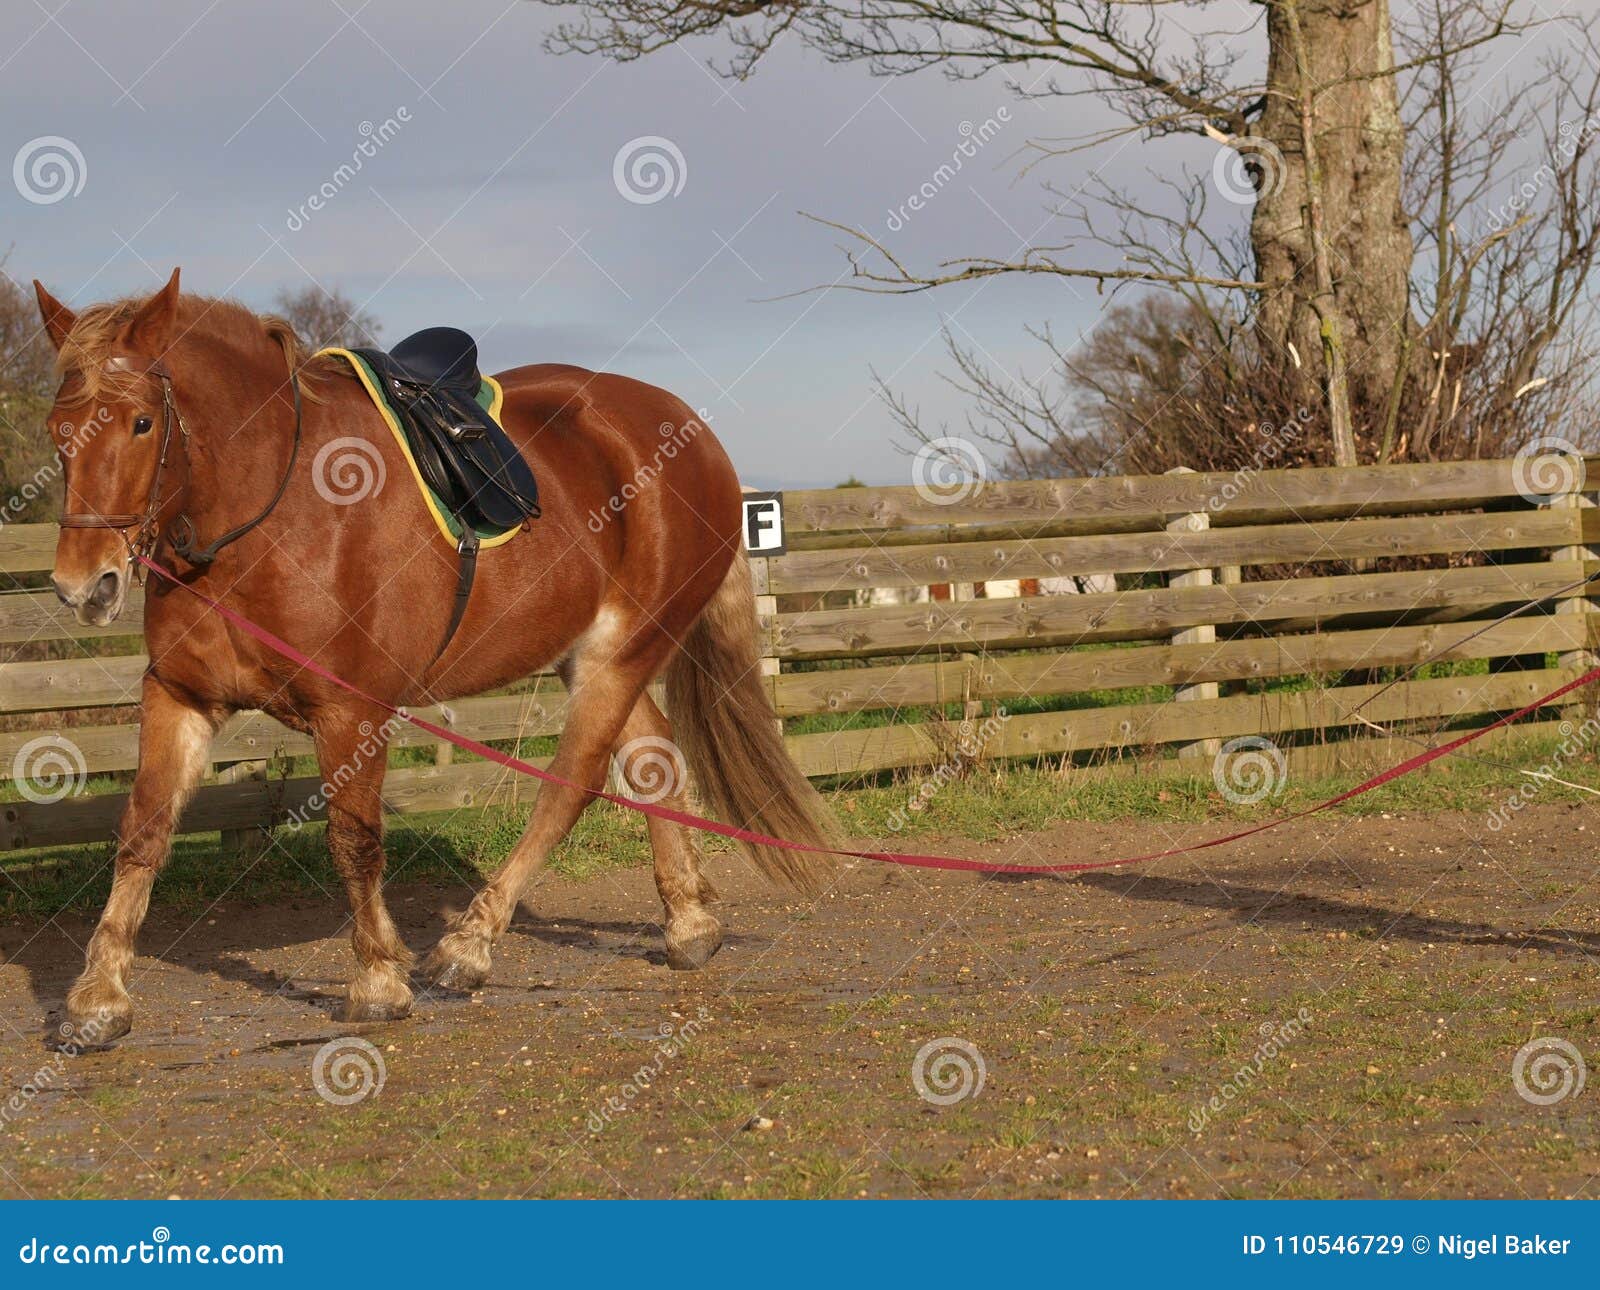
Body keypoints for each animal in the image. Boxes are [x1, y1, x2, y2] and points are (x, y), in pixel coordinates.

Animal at [32, 268, 833, 1045]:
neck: (269, 519)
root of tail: (689, 434)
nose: (83, 585)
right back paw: (689, 925)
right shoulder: (180, 696)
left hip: (625, 652)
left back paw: (469, 945)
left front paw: (378, 981)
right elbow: (142, 832)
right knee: (651, 758)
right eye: (57, 429)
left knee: (573, 781)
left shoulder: (351, 712)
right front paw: (98, 997)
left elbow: (354, 841)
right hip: (594, 653)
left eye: (142, 422)